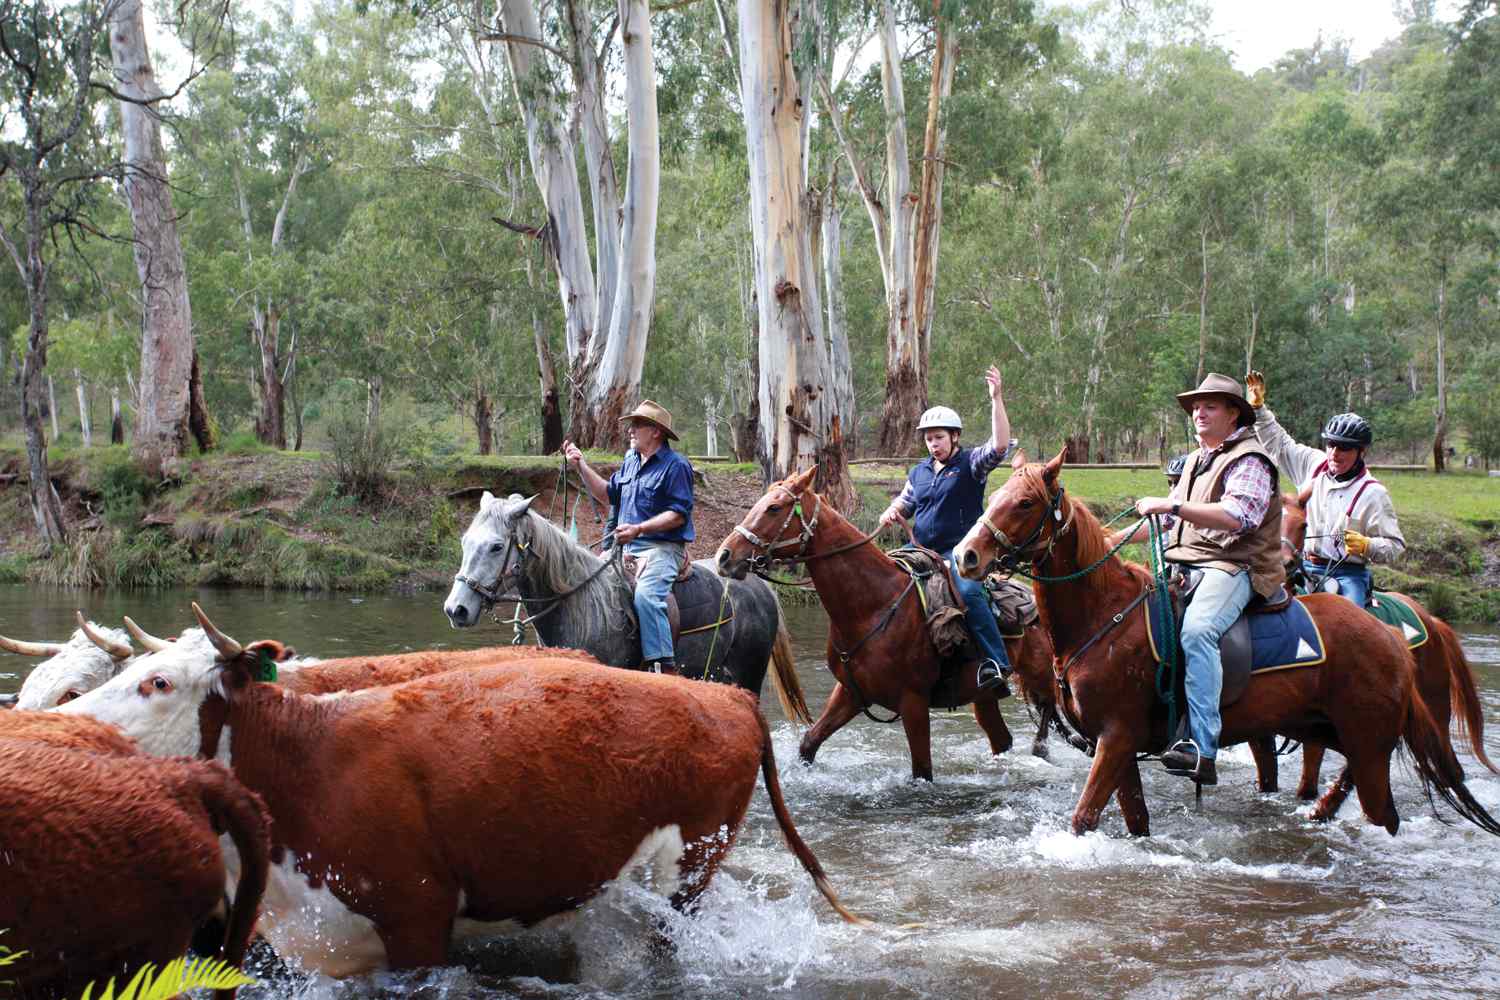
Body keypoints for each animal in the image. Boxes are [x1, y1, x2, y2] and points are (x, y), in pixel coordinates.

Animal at [443, 491, 810, 723]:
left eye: (496, 546)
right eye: (464, 541)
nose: (455, 609)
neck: (583, 608)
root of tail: (757, 584)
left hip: (749, 674)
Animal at [715, 466, 1059, 781]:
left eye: (774, 507)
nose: (724, 556)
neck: (874, 606)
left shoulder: (913, 702)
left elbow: (922, 770)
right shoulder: (851, 694)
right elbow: (809, 743)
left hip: (1041, 679)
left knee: (1048, 720)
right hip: (983, 697)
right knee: (1002, 740)